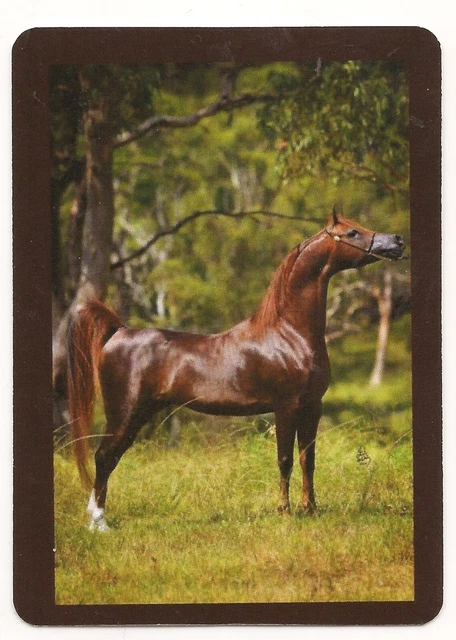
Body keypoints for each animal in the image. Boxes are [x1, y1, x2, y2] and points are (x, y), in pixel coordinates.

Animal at [67, 209, 405, 530]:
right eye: (352, 232)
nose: (398, 241)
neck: (289, 334)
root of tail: (120, 331)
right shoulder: (286, 407)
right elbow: (285, 459)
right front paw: (284, 512)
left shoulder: (313, 406)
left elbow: (308, 459)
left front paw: (311, 510)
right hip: (124, 413)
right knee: (103, 456)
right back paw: (99, 523)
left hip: (140, 413)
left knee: (110, 457)